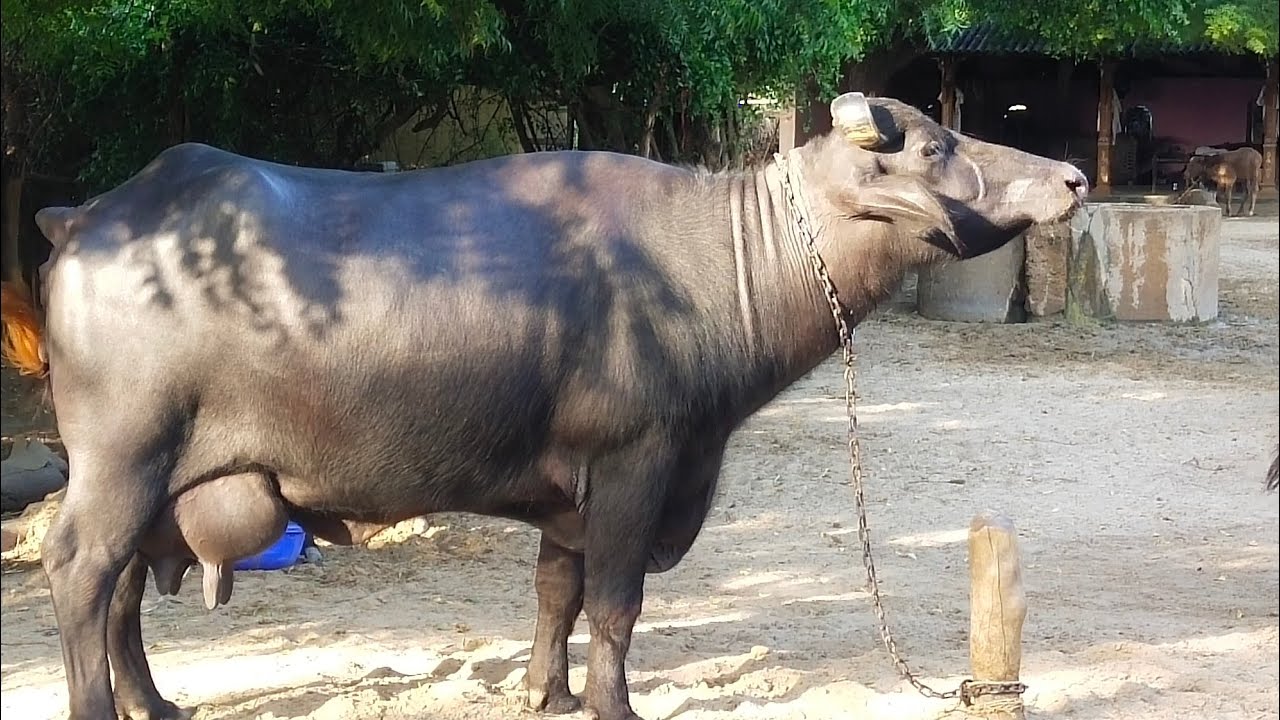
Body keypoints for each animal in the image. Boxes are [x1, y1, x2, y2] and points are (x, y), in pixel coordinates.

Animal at [1, 92, 1086, 720]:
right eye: (936, 145)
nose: (1072, 176)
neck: (716, 264)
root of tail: (87, 217)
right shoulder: (638, 461)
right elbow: (614, 602)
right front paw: (612, 706)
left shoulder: (574, 489)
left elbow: (555, 591)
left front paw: (545, 692)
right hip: (121, 461)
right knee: (81, 571)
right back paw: (98, 708)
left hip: (154, 482)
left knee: (123, 591)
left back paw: (156, 706)